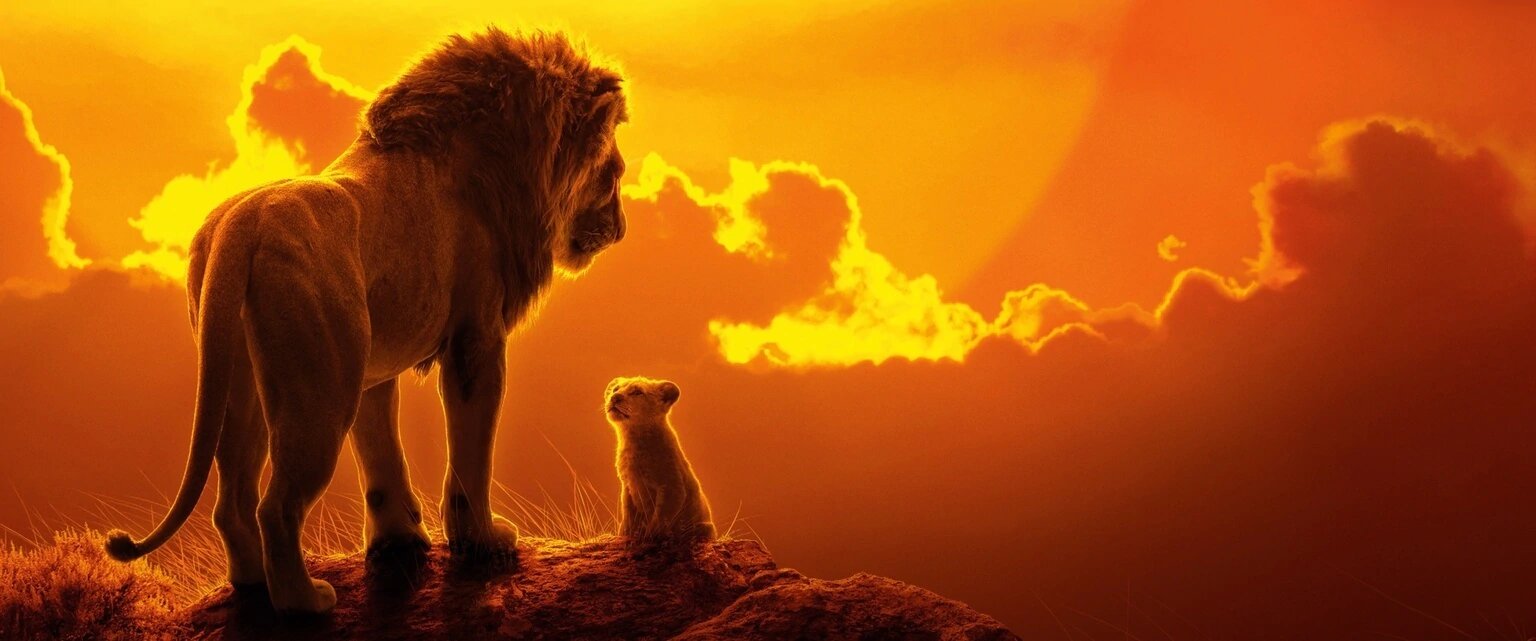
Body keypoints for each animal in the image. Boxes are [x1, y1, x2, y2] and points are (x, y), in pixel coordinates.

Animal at [103, 29, 629, 614]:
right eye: (615, 175)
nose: (622, 228)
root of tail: (241, 227)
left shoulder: (372, 366)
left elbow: (380, 455)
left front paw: (398, 541)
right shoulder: (476, 340)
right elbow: (471, 455)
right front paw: (483, 541)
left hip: (243, 384)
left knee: (233, 500)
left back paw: (253, 584)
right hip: (320, 392)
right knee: (276, 507)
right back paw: (304, 602)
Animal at [604, 377, 716, 543]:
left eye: (637, 392)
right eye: (615, 389)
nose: (614, 398)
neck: (632, 439)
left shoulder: (671, 486)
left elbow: (660, 516)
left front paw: (650, 537)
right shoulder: (628, 487)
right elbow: (628, 515)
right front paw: (626, 534)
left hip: (704, 527)